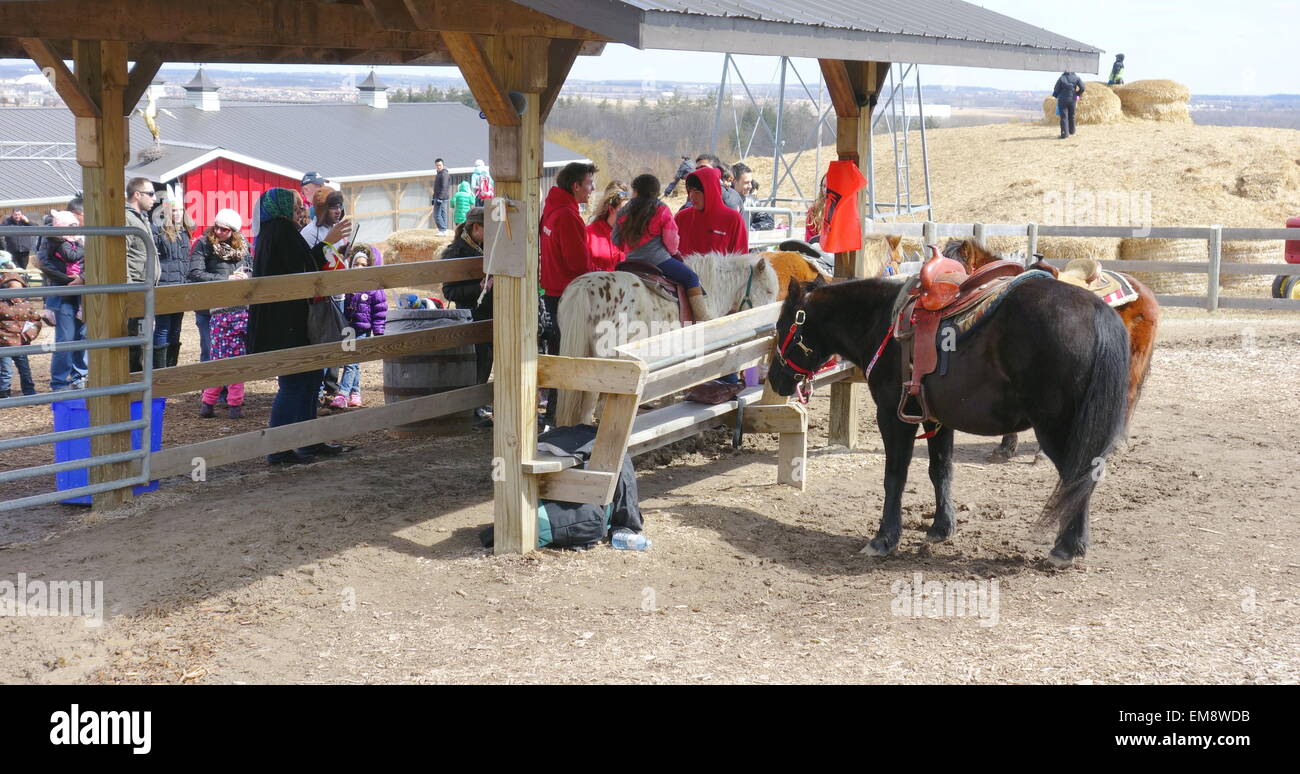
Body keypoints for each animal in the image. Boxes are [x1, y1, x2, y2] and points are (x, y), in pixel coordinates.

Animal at [767, 273, 1130, 567]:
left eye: (782, 326)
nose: (774, 379)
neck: (884, 325)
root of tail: (1097, 312)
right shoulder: (935, 419)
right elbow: (940, 470)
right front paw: (941, 527)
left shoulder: (893, 418)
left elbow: (895, 477)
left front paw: (884, 538)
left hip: (1056, 429)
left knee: (1077, 475)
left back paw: (1066, 548)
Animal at [942, 238, 1160, 461]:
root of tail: (1143, 289)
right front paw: (1006, 447)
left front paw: (1040, 453)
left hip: (1134, 359)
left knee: (1129, 396)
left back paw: (1115, 444)